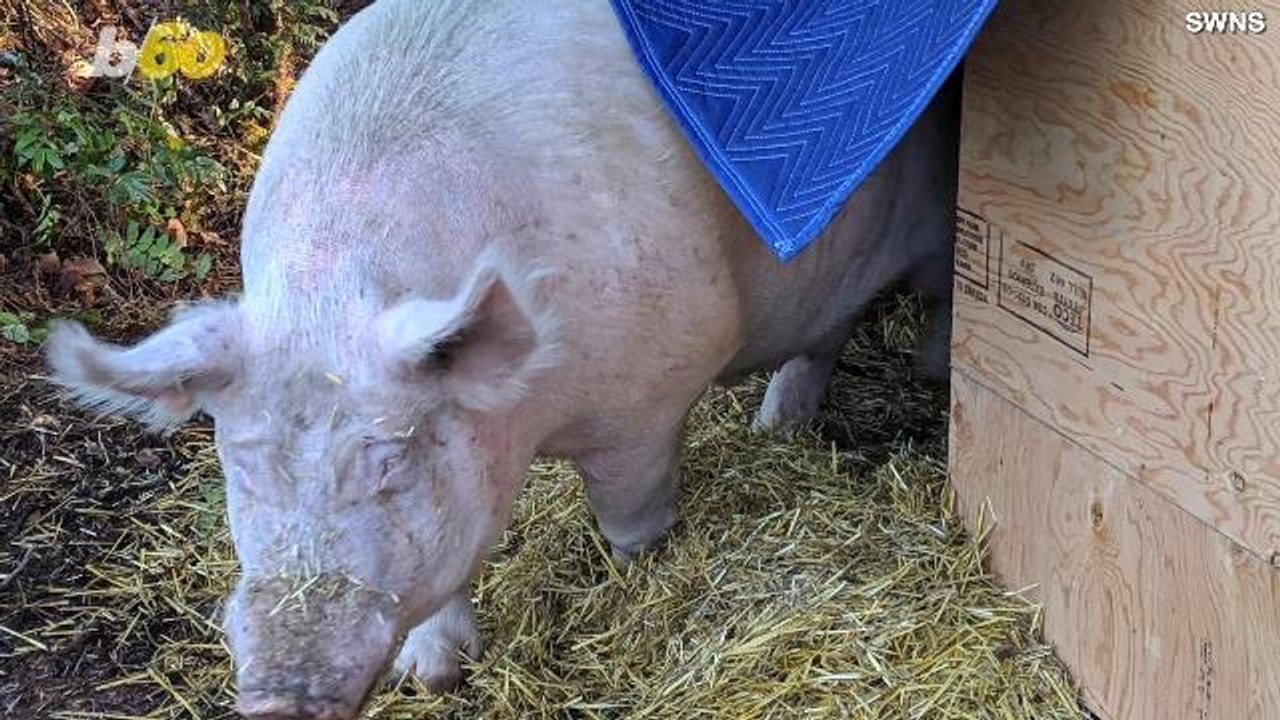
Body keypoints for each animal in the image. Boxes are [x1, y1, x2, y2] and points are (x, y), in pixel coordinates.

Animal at [45, 1, 959, 717]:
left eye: (390, 464)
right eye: (243, 468)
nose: (275, 699)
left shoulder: (652, 392)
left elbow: (628, 517)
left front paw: (644, 570)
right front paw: (433, 678)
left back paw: (927, 371)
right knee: (825, 337)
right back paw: (777, 431)